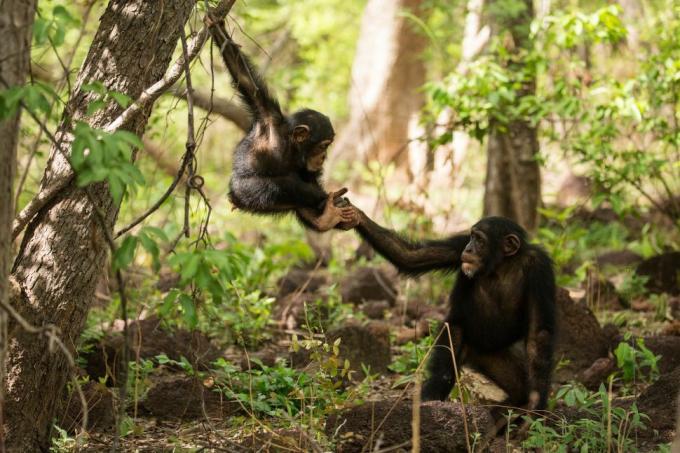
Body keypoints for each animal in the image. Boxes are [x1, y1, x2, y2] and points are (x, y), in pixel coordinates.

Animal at [206, 17, 356, 230]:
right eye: (323, 146)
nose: (324, 156)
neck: (291, 146)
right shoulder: (268, 117)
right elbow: (246, 79)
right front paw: (215, 26)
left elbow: (311, 177)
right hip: (242, 191)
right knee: (283, 186)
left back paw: (325, 219)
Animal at [354, 211, 556, 410]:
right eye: (472, 237)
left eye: (480, 240)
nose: (469, 249)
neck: (503, 264)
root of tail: (476, 352)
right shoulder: (459, 244)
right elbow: (412, 256)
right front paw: (356, 215)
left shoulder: (540, 267)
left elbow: (539, 333)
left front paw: (536, 403)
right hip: (462, 337)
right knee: (448, 357)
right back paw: (431, 398)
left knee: (519, 389)